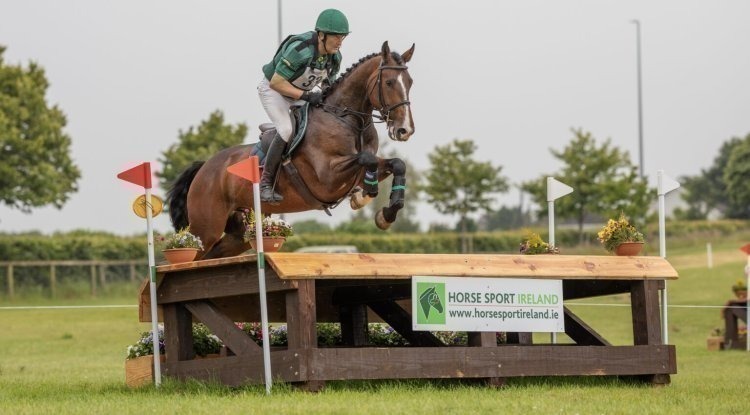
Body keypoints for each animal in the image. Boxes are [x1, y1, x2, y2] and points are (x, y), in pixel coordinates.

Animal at [167, 41, 415, 260]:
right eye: (389, 82)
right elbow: (367, 158)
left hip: (237, 233)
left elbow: (396, 164)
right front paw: (365, 196)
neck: (346, 119)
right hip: (205, 227)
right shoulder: (327, 179)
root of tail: (204, 168)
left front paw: (383, 213)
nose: (405, 130)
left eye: (410, 82)